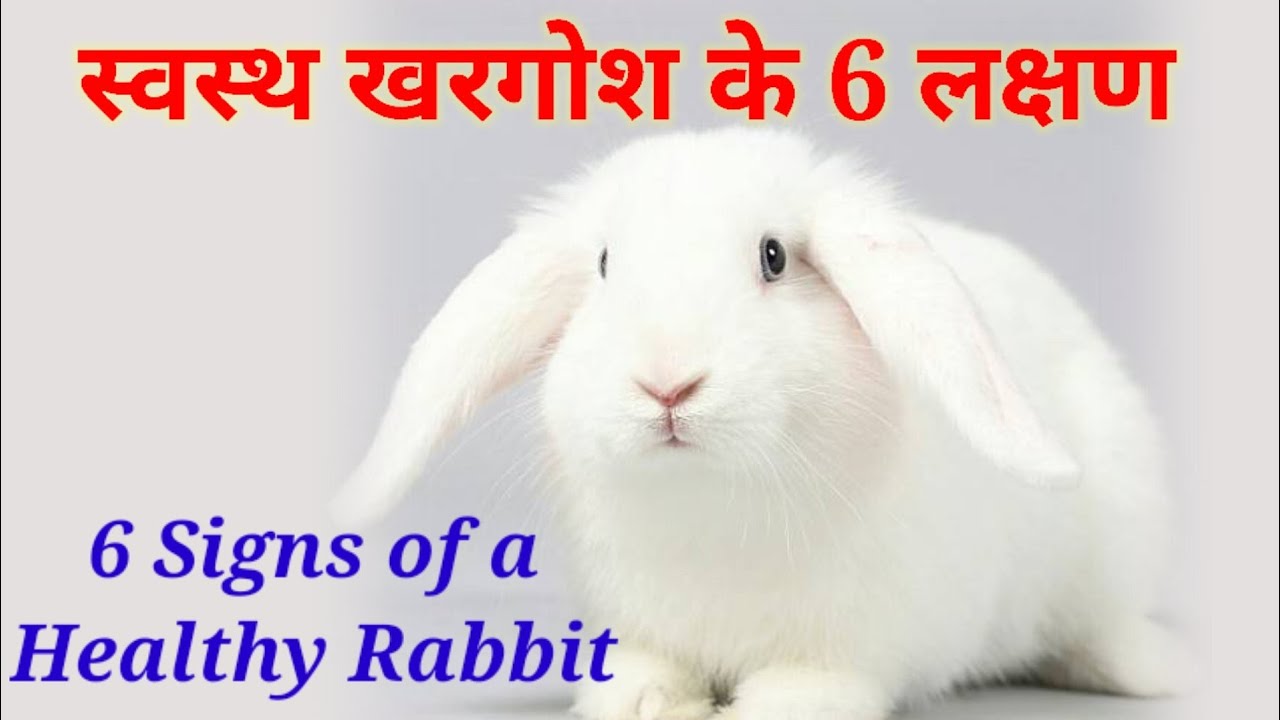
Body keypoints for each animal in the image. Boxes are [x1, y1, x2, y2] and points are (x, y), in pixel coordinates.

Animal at [332, 127, 1188, 719]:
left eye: (774, 257)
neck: (710, 505)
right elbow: (645, 669)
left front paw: (773, 705)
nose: (667, 383)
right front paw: (646, 700)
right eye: (605, 265)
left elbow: (823, 681)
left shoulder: (858, 638)